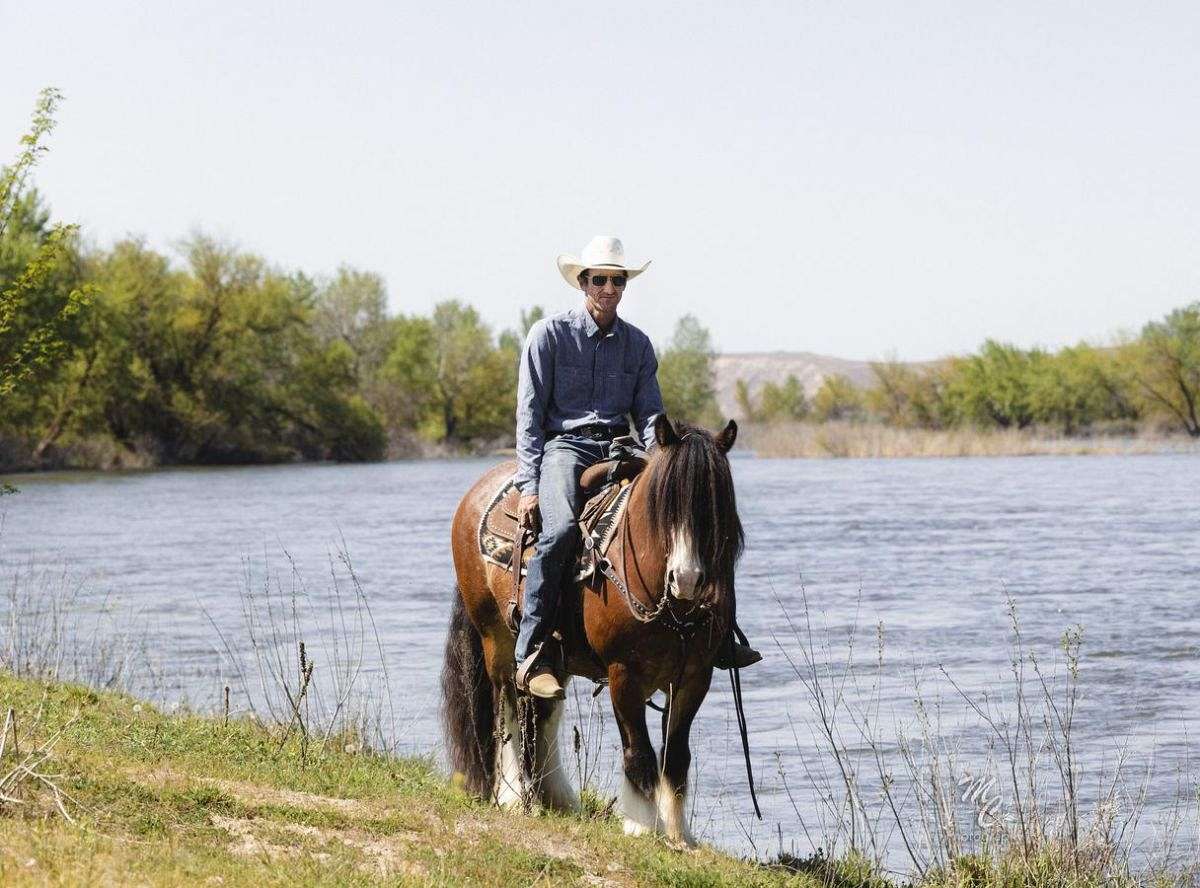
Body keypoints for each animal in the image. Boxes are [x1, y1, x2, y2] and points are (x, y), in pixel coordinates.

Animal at [441, 414, 743, 843]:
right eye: (667, 502)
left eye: (716, 505)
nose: (686, 579)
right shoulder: (623, 675)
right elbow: (639, 753)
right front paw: (641, 825)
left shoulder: (693, 677)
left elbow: (676, 756)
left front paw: (679, 834)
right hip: (495, 639)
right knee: (510, 707)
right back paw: (514, 796)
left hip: (552, 658)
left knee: (543, 709)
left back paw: (556, 798)